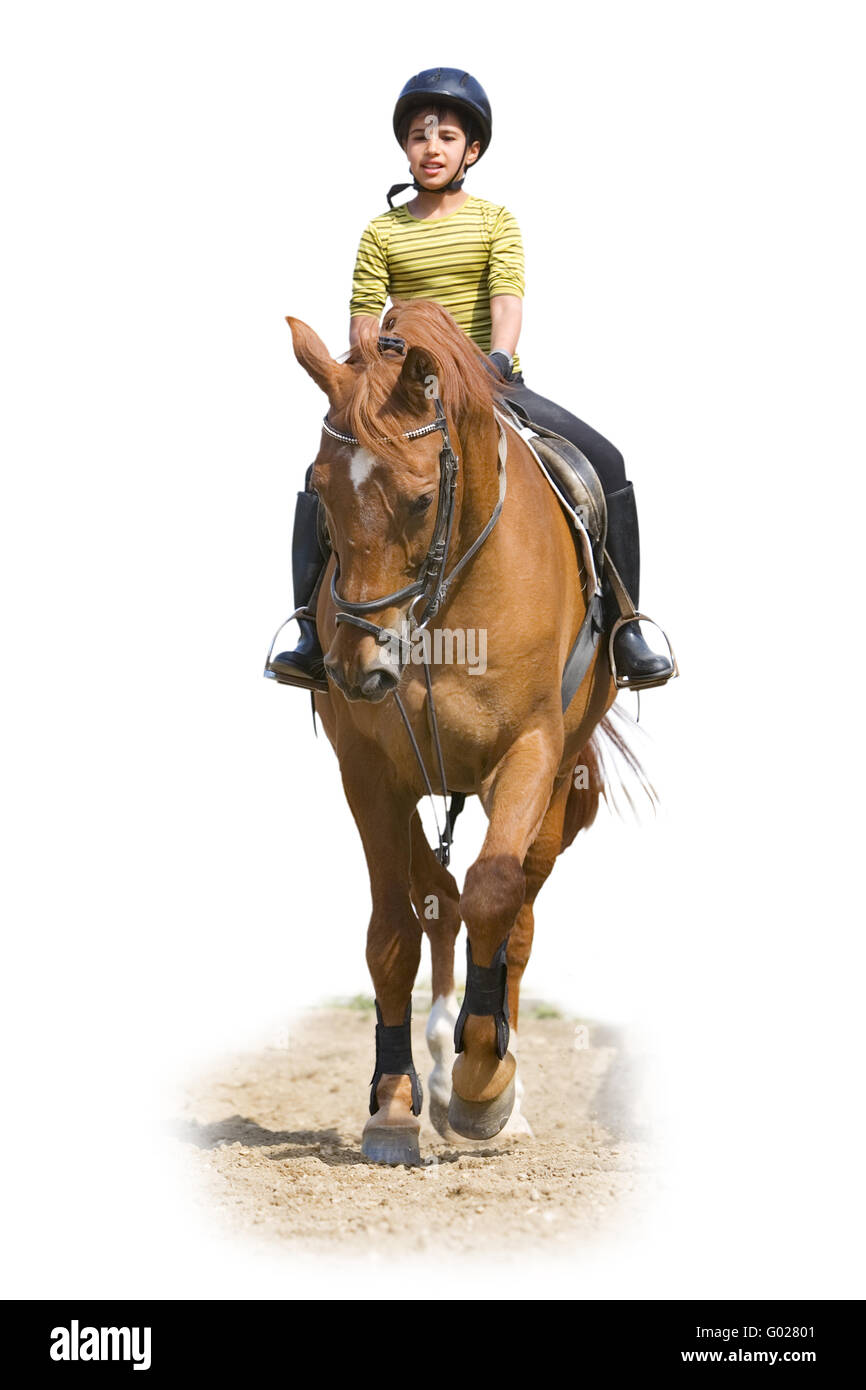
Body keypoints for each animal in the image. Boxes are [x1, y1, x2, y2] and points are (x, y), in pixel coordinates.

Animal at [285, 298, 647, 1165]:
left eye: (421, 500)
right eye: (321, 492)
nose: (358, 666)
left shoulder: (531, 752)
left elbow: (494, 894)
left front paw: (486, 1085)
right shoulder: (370, 773)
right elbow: (394, 929)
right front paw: (393, 1104)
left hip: (553, 781)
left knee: (513, 908)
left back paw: (493, 1089)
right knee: (437, 901)